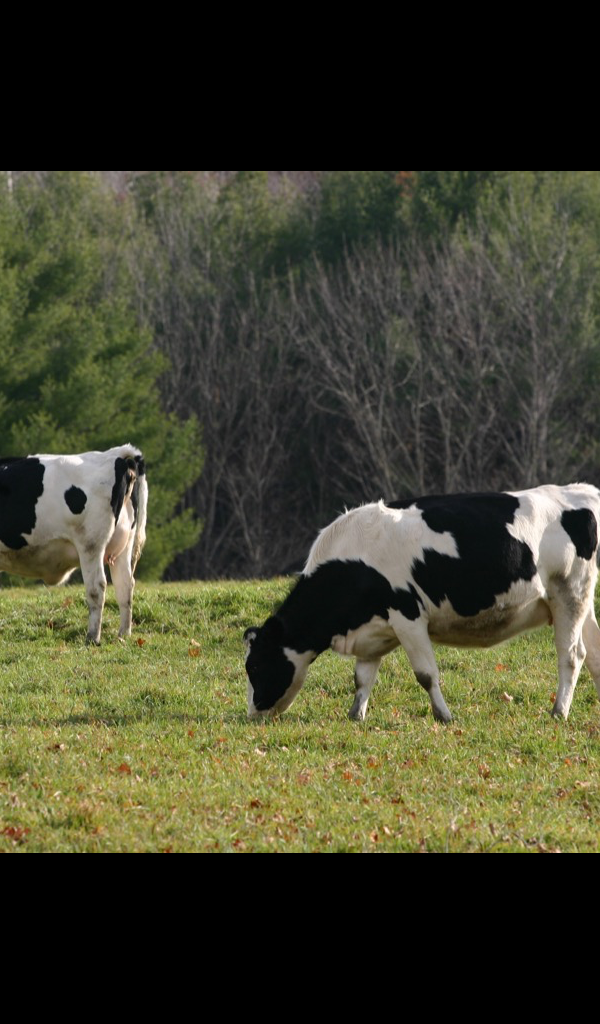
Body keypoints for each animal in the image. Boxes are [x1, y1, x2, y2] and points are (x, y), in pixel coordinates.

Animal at [0, 445, 148, 645]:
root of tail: (116, 454)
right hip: (123, 546)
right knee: (124, 586)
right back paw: (123, 635)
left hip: (91, 545)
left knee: (97, 588)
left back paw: (93, 637)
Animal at [244, 485, 600, 724]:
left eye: (255, 666)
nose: (252, 714)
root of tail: (582, 490)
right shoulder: (372, 630)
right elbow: (363, 677)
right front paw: (356, 715)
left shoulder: (408, 616)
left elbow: (425, 674)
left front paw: (444, 716)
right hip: (583, 600)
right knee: (593, 652)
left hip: (569, 593)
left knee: (571, 655)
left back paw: (559, 711)